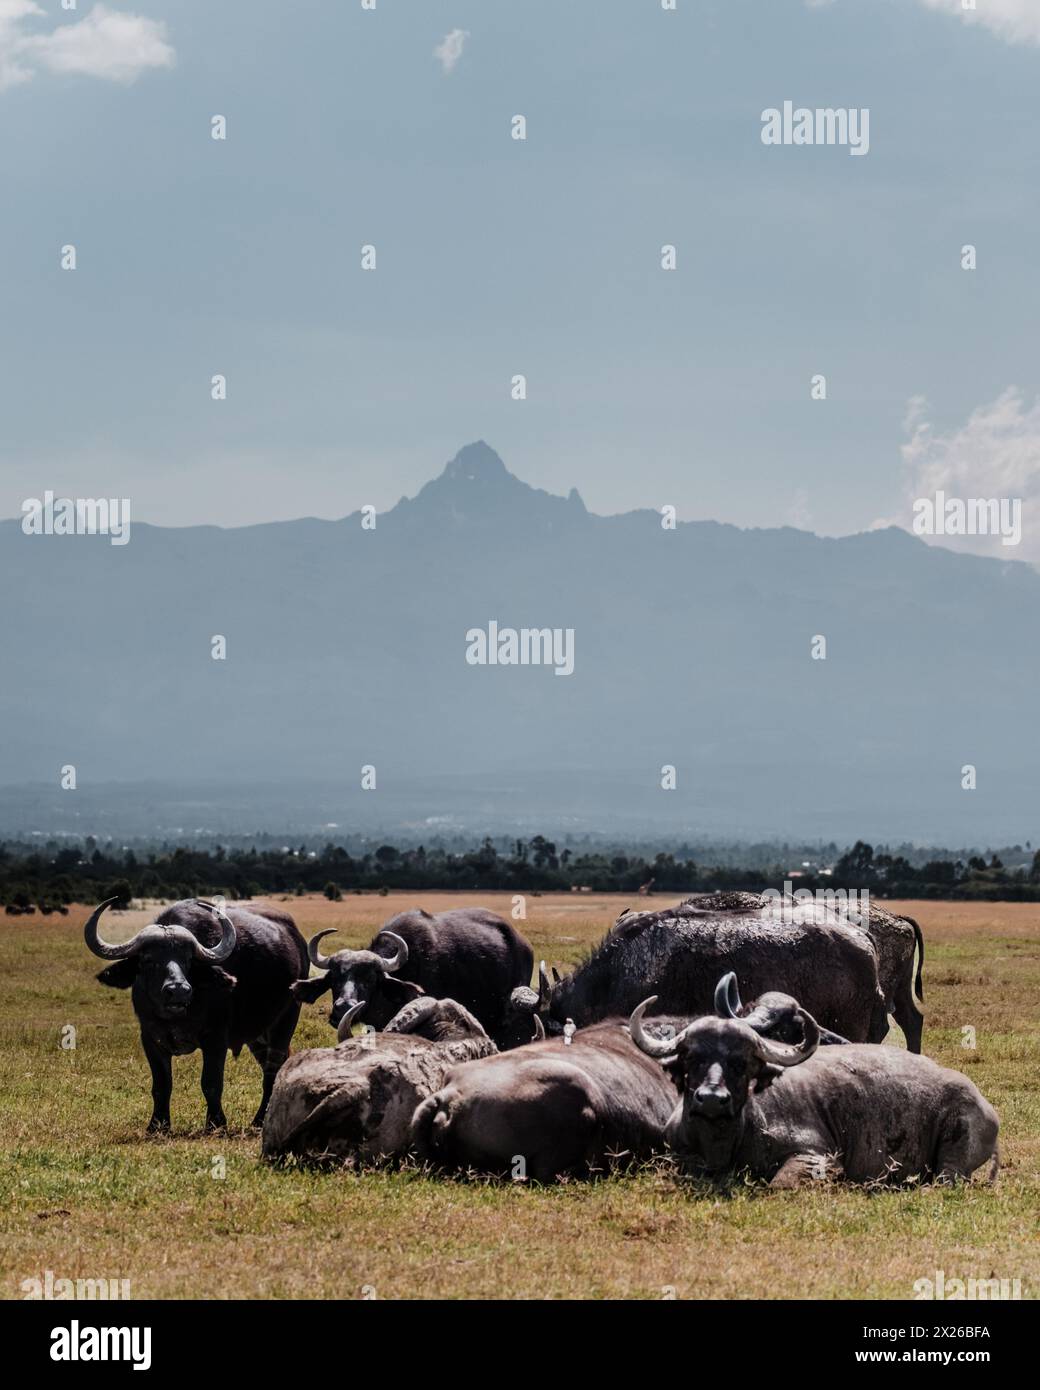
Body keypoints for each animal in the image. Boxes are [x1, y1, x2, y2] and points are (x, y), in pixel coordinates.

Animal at [85, 897, 308, 1131]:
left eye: (188, 960)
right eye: (148, 960)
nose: (178, 990)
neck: (177, 1018)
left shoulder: (216, 1038)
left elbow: (211, 1083)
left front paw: (215, 1123)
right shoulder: (150, 1039)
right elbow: (161, 1085)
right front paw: (157, 1125)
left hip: (285, 1021)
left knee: (271, 1072)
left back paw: (259, 1121)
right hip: (257, 1034)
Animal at [628, 984, 998, 1186]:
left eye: (742, 1063)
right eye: (691, 1058)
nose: (710, 1099)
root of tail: (984, 1106)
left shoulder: (815, 1155)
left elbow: (780, 1185)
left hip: (955, 1157)